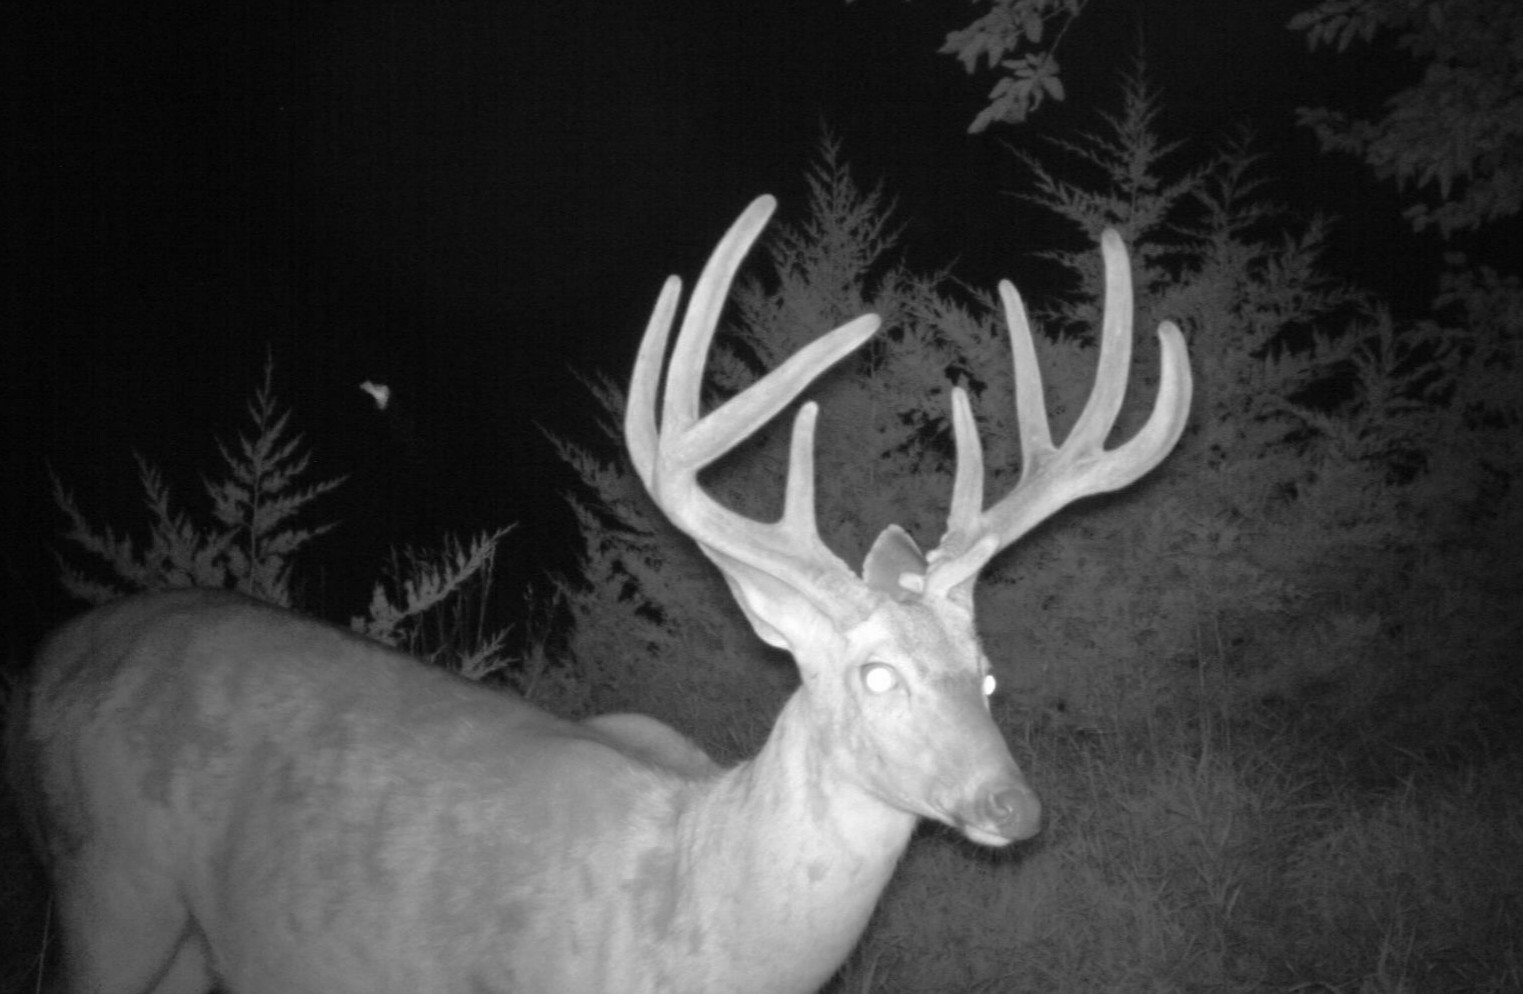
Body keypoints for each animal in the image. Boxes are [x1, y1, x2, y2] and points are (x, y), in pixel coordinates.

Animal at [8, 194, 1192, 994]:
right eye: (875, 674)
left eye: (987, 677)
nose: (1013, 807)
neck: (695, 933)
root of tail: (50, 659)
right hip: (107, 885)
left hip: (192, 938)